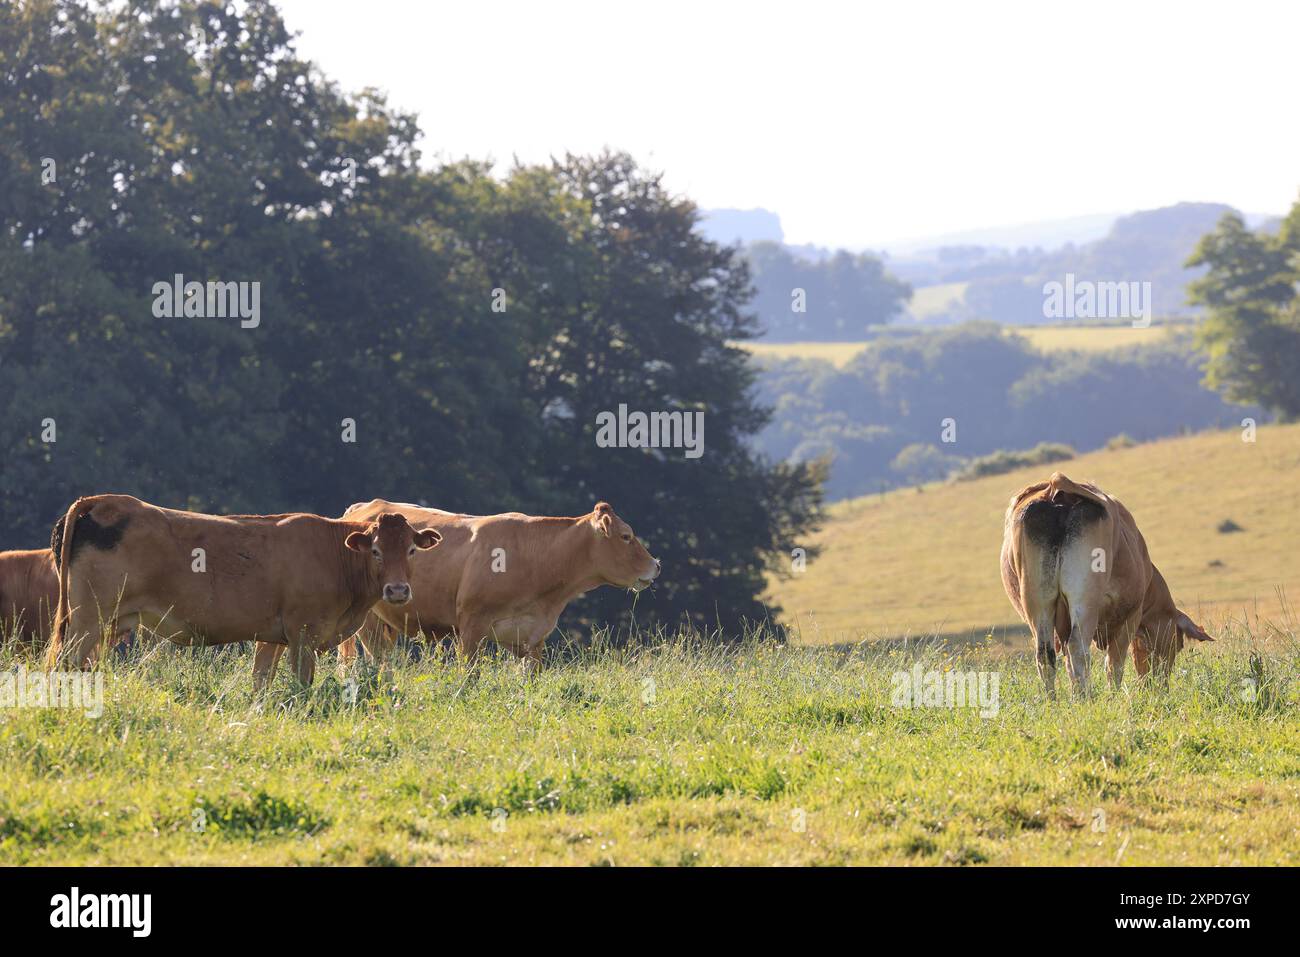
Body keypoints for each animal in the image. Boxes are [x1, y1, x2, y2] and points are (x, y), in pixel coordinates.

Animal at [47, 494, 440, 689]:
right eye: (375, 550)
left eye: (411, 550)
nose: (397, 590)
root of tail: (100, 500)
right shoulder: (303, 634)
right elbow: (302, 685)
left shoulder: (272, 636)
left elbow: (260, 682)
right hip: (87, 619)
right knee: (64, 662)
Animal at [277, 500, 661, 677]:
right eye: (626, 536)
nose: (656, 565)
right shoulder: (471, 625)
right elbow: (469, 676)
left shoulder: (534, 637)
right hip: (370, 622)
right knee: (376, 661)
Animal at [1000, 472, 1213, 698]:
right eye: (1178, 644)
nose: (1160, 688)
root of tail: (1056, 492)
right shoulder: (1130, 617)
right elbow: (1114, 665)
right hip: (1086, 599)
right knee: (1078, 648)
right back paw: (1085, 699)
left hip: (1037, 601)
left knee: (1045, 654)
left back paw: (1054, 701)